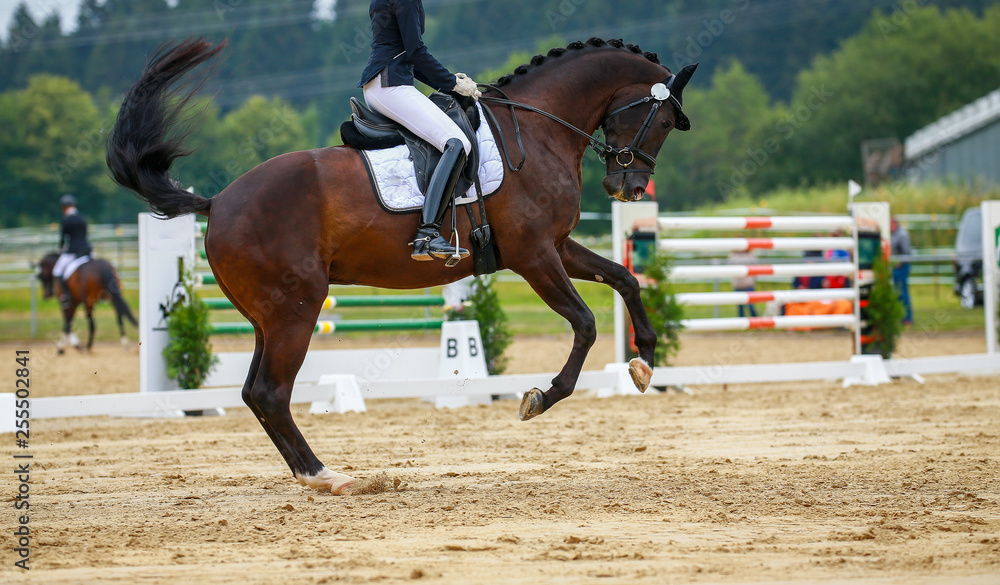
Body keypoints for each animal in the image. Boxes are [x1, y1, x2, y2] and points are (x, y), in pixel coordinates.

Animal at [106, 37, 697, 494]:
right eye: (664, 119)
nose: (630, 189)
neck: (539, 131)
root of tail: (218, 203)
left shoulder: (557, 246)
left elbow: (625, 279)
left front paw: (644, 362)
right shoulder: (535, 256)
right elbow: (586, 323)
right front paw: (540, 397)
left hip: (267, 318)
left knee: (256, 392)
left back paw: (311, 474)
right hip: (296, 310)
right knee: (271, 392)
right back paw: (326, 476)